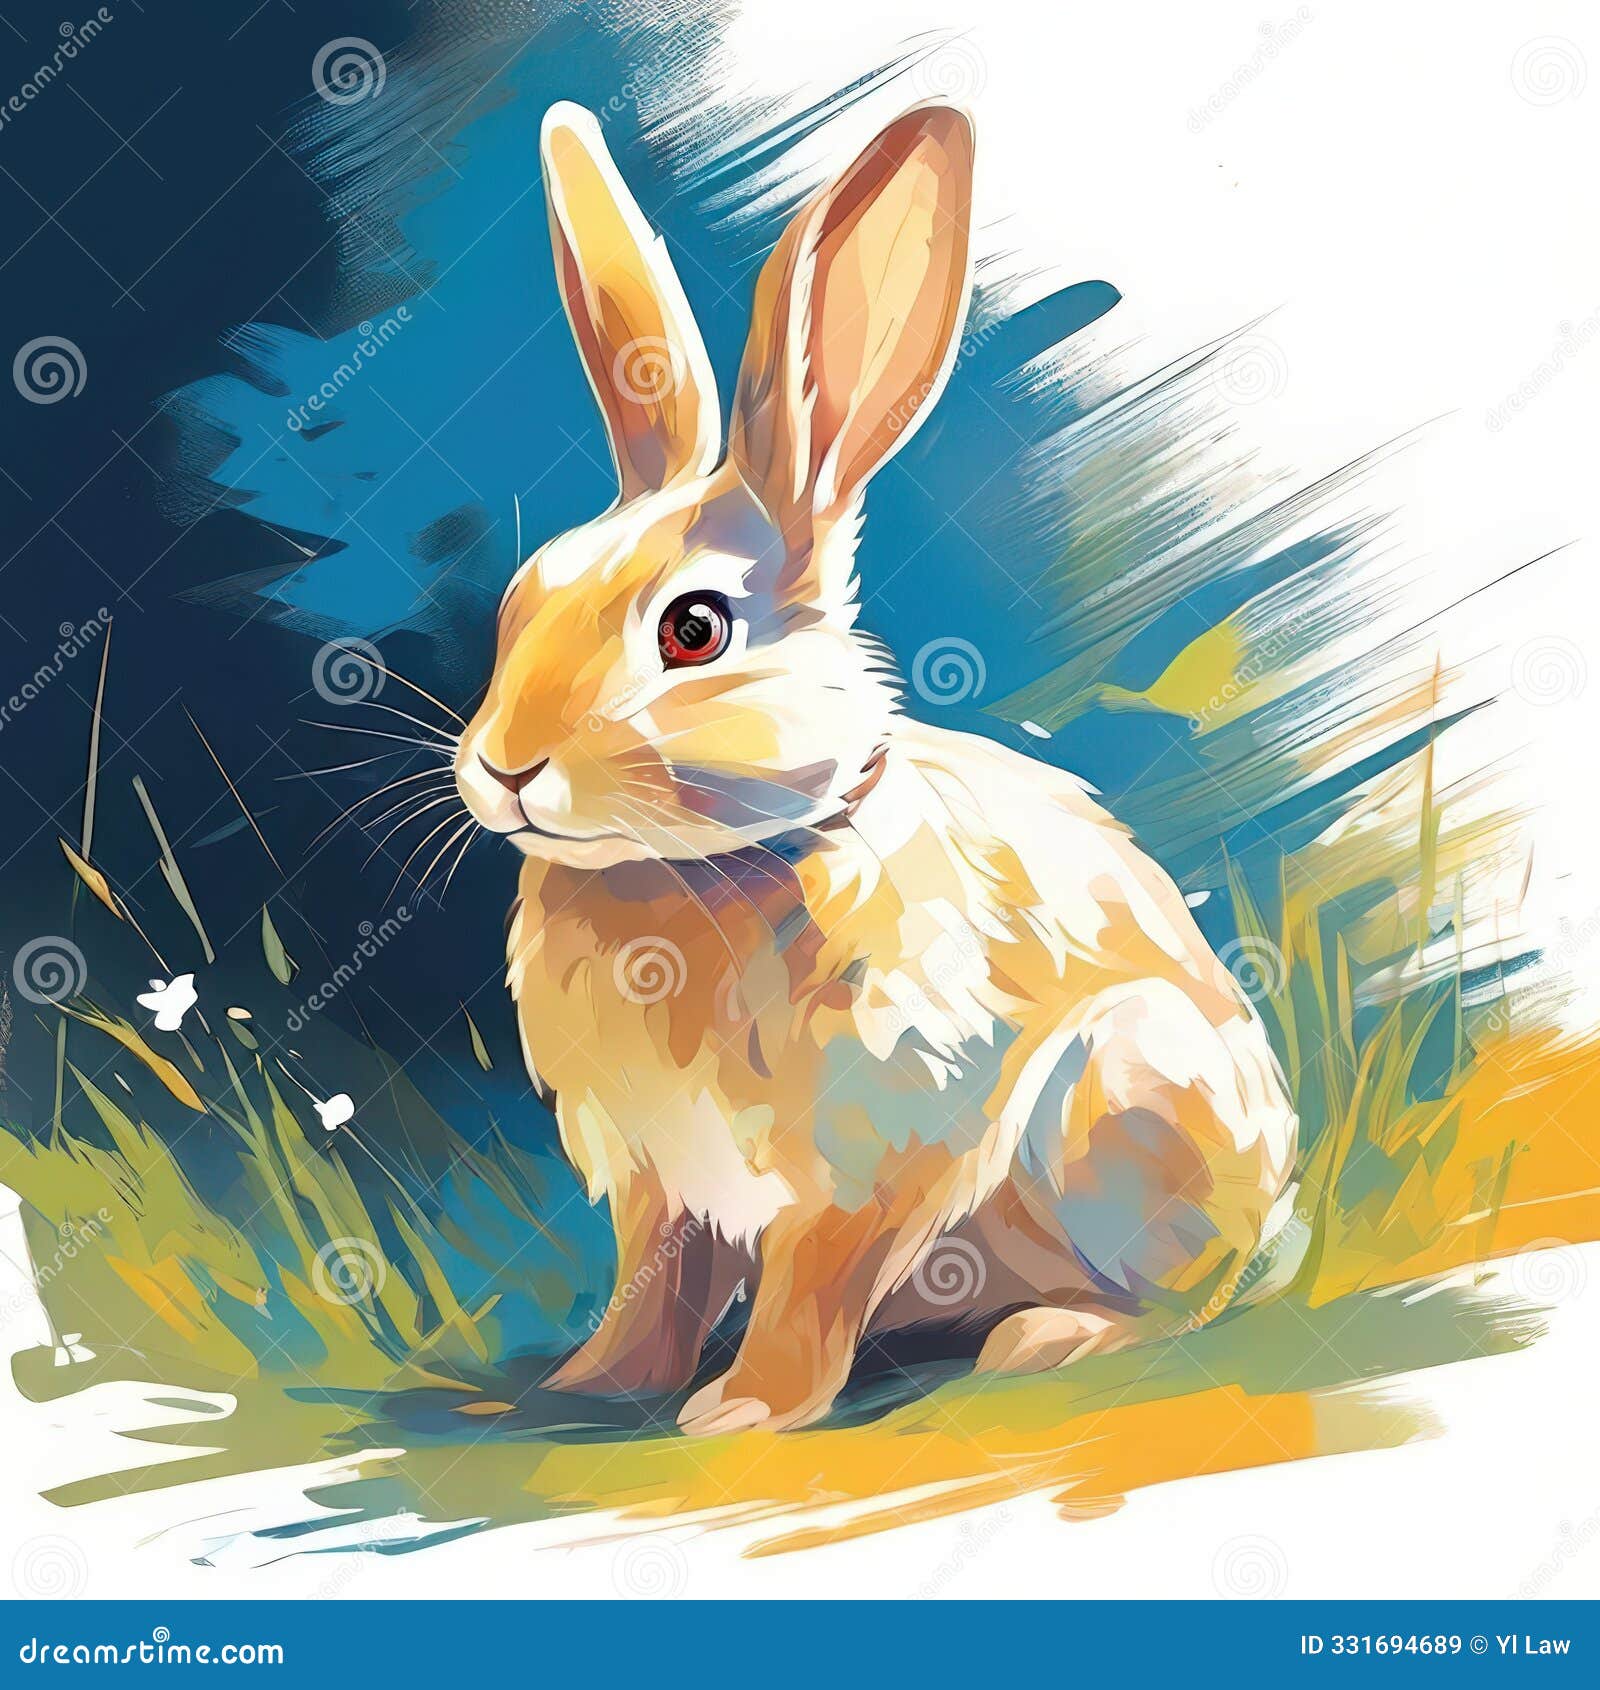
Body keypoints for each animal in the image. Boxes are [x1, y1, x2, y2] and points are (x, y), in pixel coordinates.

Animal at [452, 99, 1299, 1435]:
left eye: (692, 631)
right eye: (521, 599)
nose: (504, 768)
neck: (709, 868)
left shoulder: (870, 1165)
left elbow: (810, 1287)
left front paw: (744, 1413)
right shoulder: (656, 1186)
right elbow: (654, 1291)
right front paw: (580, 1389)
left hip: (1130, 1095)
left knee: (1181, 1308)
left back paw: (1045, 1339)